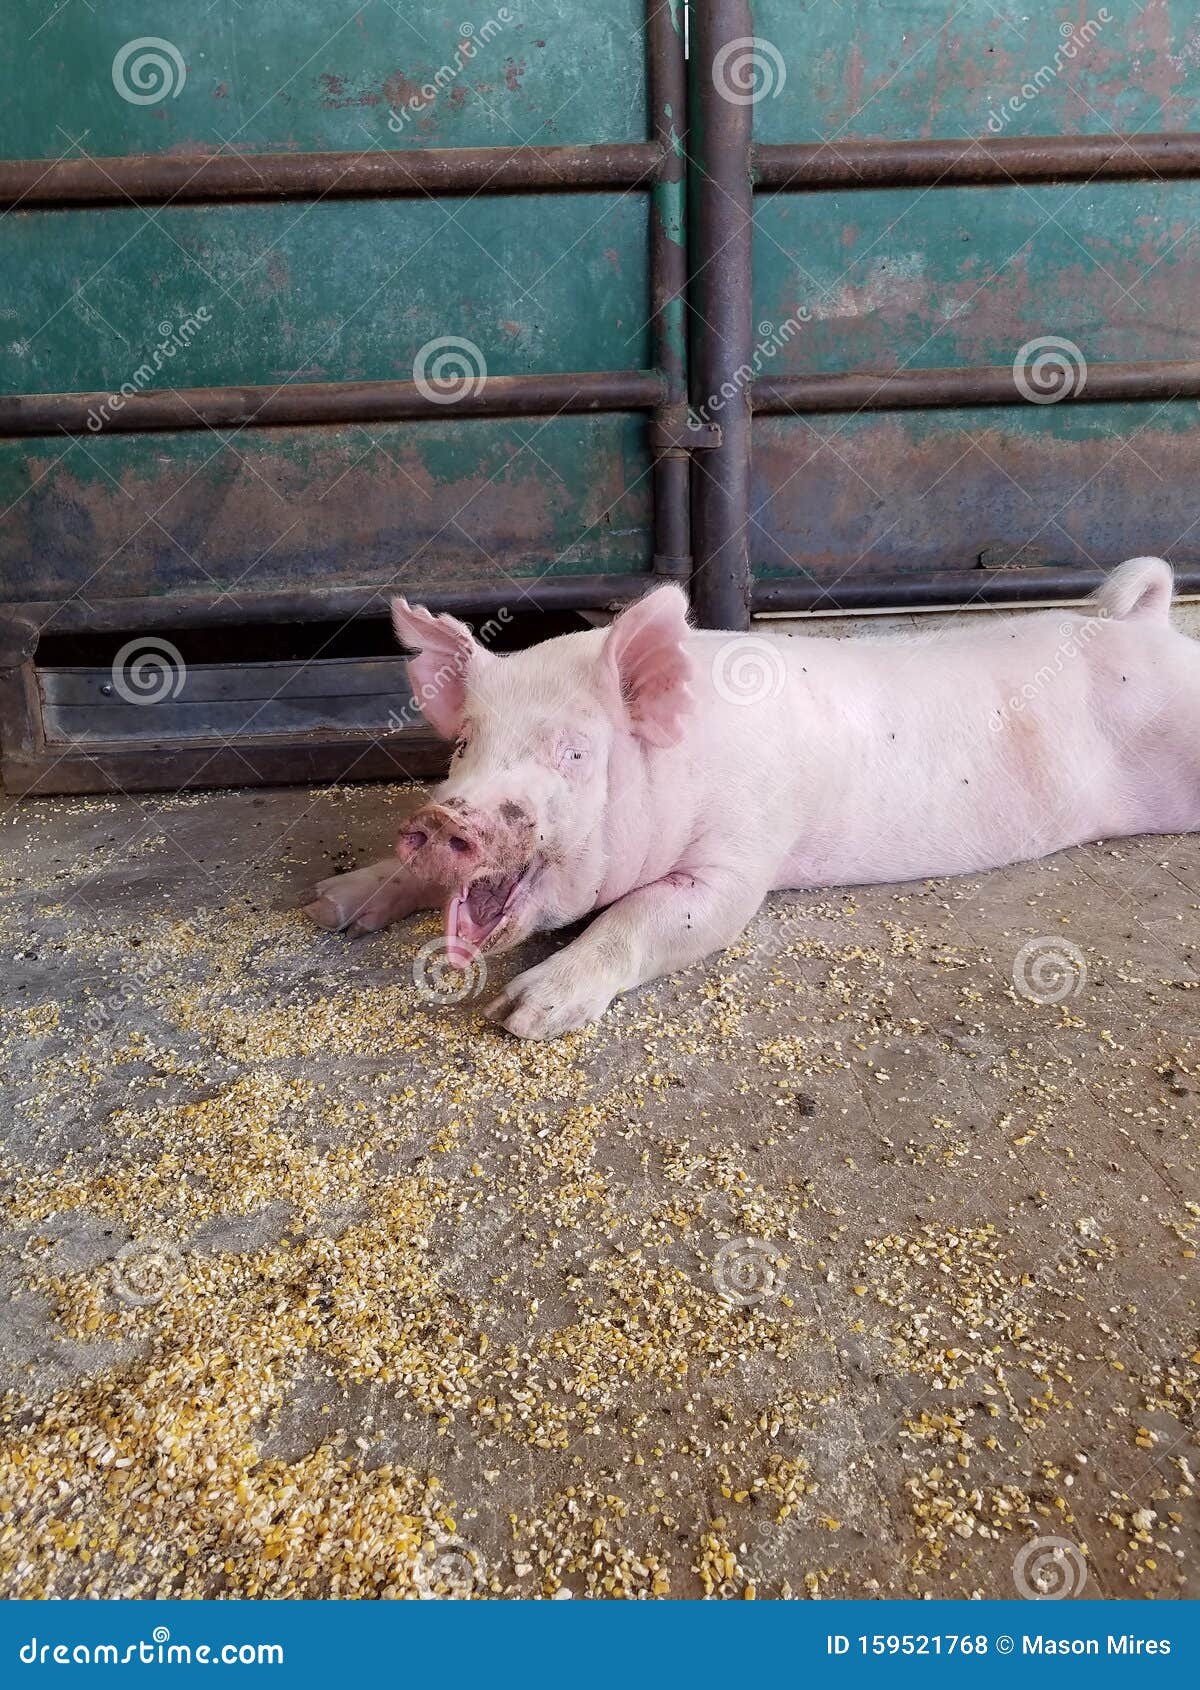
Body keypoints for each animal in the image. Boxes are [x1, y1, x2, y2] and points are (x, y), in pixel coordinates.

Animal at [305, 556, 1200, 1040]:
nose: (442, 817)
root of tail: (1149, 624)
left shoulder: (737, 865)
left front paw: (523, 1015)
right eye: (465, 746)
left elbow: (641, 918)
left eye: (574, 753)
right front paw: (326, 904)